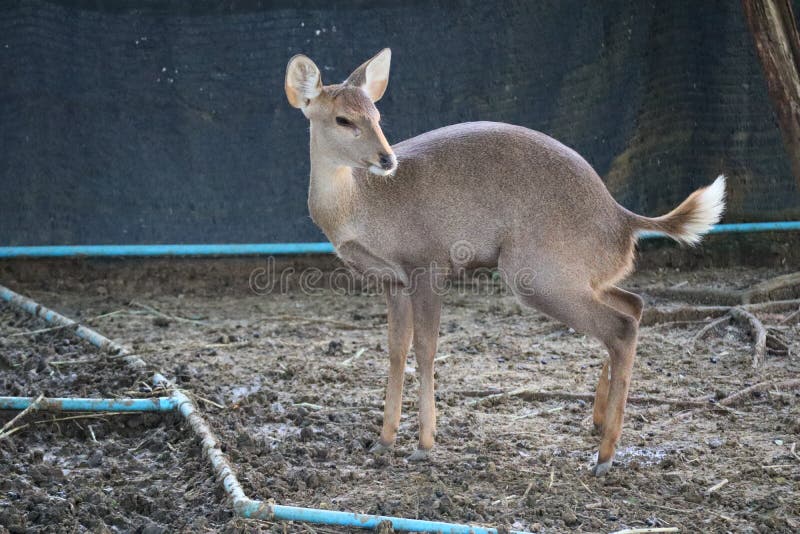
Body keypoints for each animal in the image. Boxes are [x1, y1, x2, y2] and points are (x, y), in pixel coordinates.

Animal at [284, 48, 726, 476]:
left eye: (376, 117)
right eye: (343, 119)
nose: (387, 159)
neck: (361, 205)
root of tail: (622, 219)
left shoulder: (428, 265)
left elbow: (426, 348)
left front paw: (424, 446)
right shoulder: (390, 280)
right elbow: (396, 350)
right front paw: (384, 440)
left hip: (536, 272)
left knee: (619, 326)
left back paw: (603, 458)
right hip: (577, 274)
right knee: (633, 305)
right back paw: (598, 423)